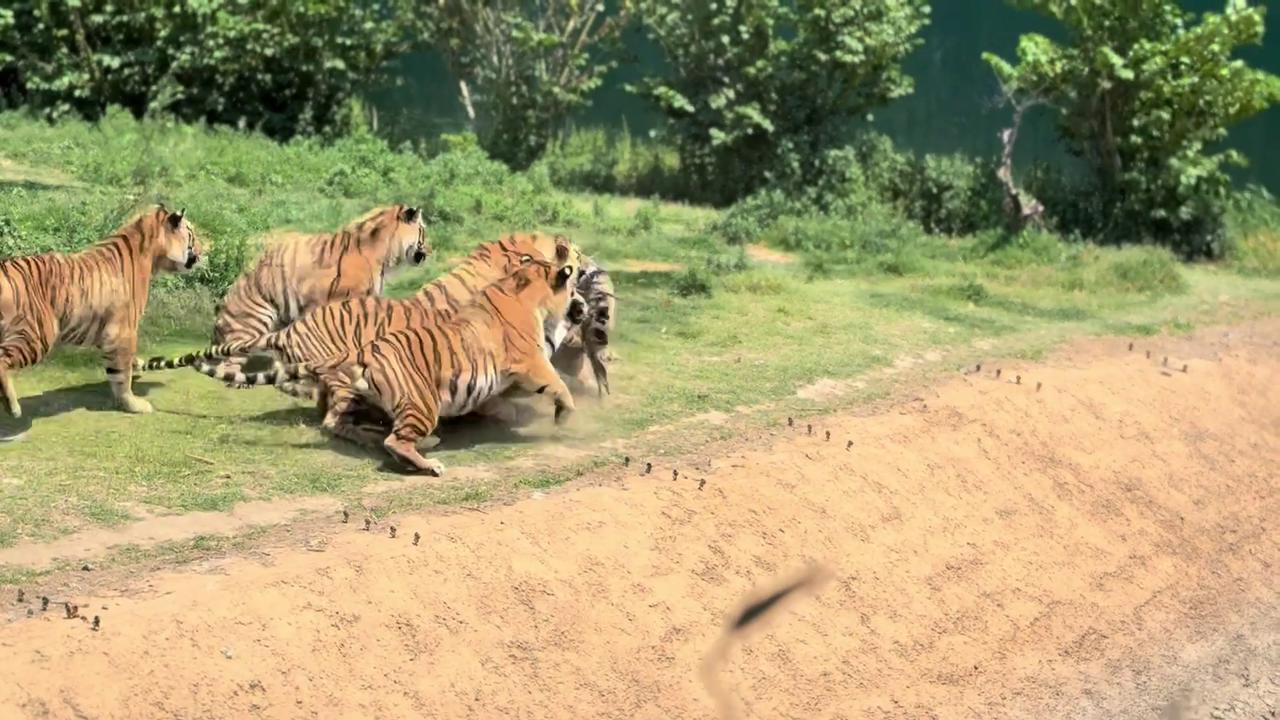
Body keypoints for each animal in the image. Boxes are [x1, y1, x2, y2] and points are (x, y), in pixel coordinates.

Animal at [0, 205, 201, 417]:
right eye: (192, 234)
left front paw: (137, 363)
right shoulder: (122, 330)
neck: (150, 255)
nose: (204, 250)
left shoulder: (103, 330)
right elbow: (122, 375)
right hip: (38, 335)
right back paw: (12, 406)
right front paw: (133, 404)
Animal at [142, 203, 427, 371]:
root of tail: (215, 329)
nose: (430, 250)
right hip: (258, 317)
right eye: (423, 231)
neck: (385, 254)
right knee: (229, 364)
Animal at [224, 255, 580, 474]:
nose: (579, 305)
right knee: (392, 440)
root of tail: (367, 351)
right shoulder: (532, 361)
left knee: (347, 423)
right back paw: (430, 463)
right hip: (423, 404)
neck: (521, 286)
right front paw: (565, 416)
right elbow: (559, 385)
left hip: (366, 396)